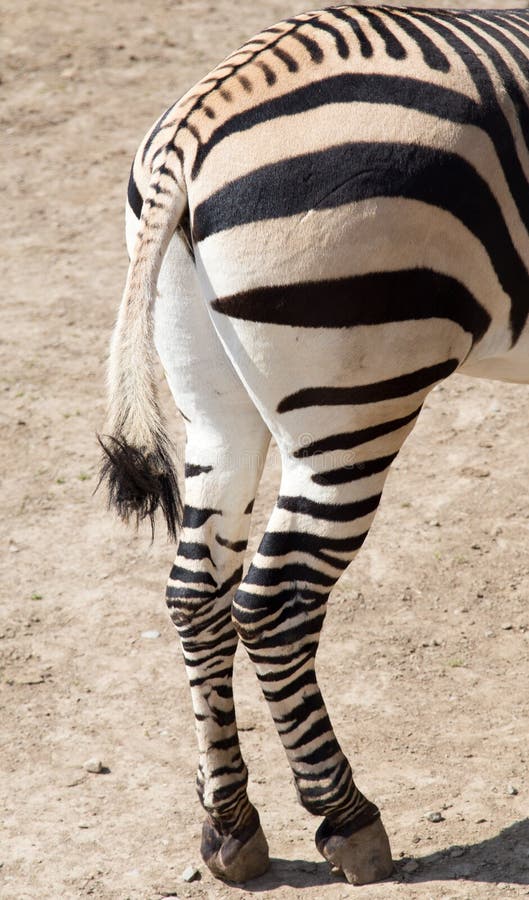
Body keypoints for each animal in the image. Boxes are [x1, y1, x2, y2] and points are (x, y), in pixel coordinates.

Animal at [100, 4, 529, 886]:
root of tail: (197, 121)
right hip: (353, 402)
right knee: (273, 603)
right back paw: (347, 819)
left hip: (215, 407)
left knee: (196, 592)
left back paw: (229, 826)